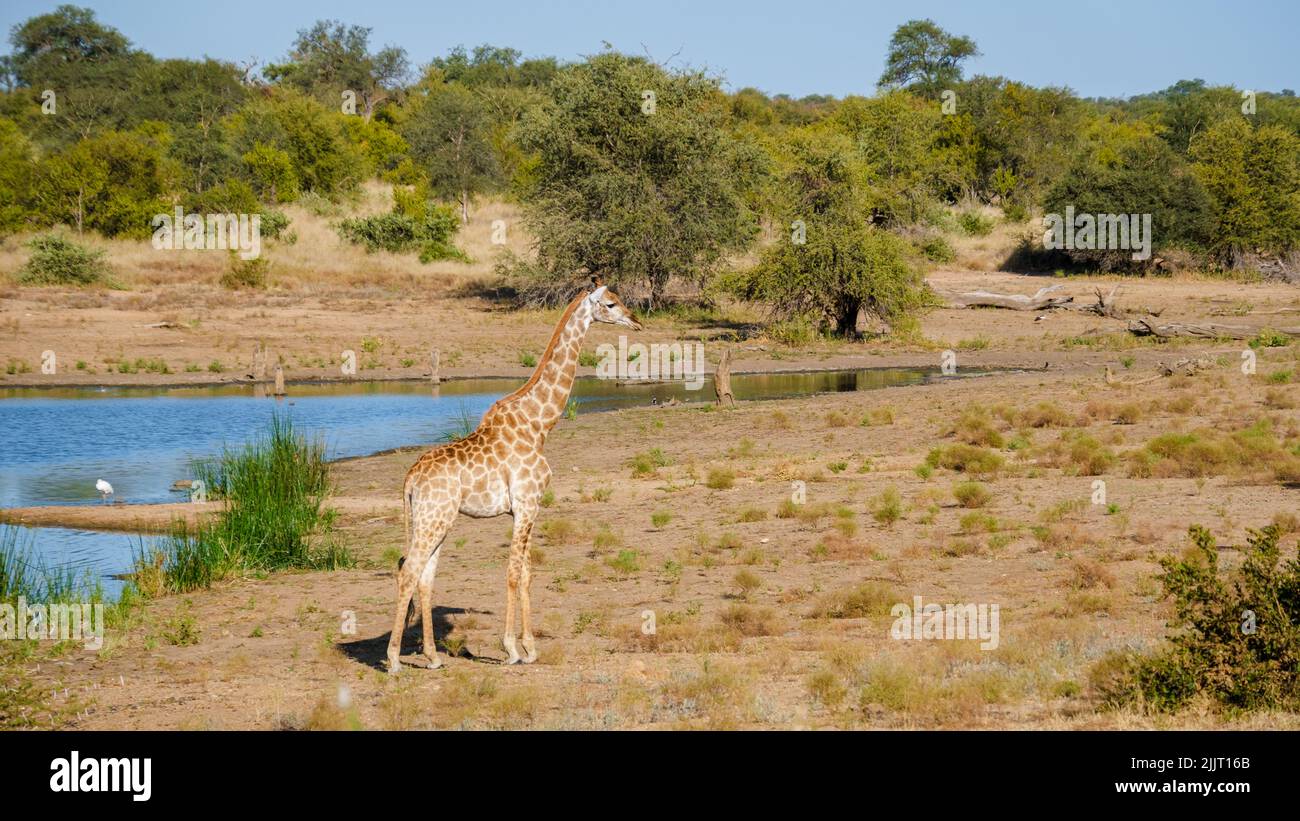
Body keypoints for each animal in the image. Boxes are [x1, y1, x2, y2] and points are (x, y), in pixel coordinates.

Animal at [386, 277, 642, 673]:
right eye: (611, 304)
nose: (637, 321)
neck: (539, 424)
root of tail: (409, 480)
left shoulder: (528, 509)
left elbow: (526, 573)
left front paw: (530, 647)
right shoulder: (526, 504)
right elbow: (512, 572)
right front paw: (512, 649)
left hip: (434, 519)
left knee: (423, 574)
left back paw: (432, 657)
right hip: (434, 518)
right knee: (408, 570)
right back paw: (394, 660)